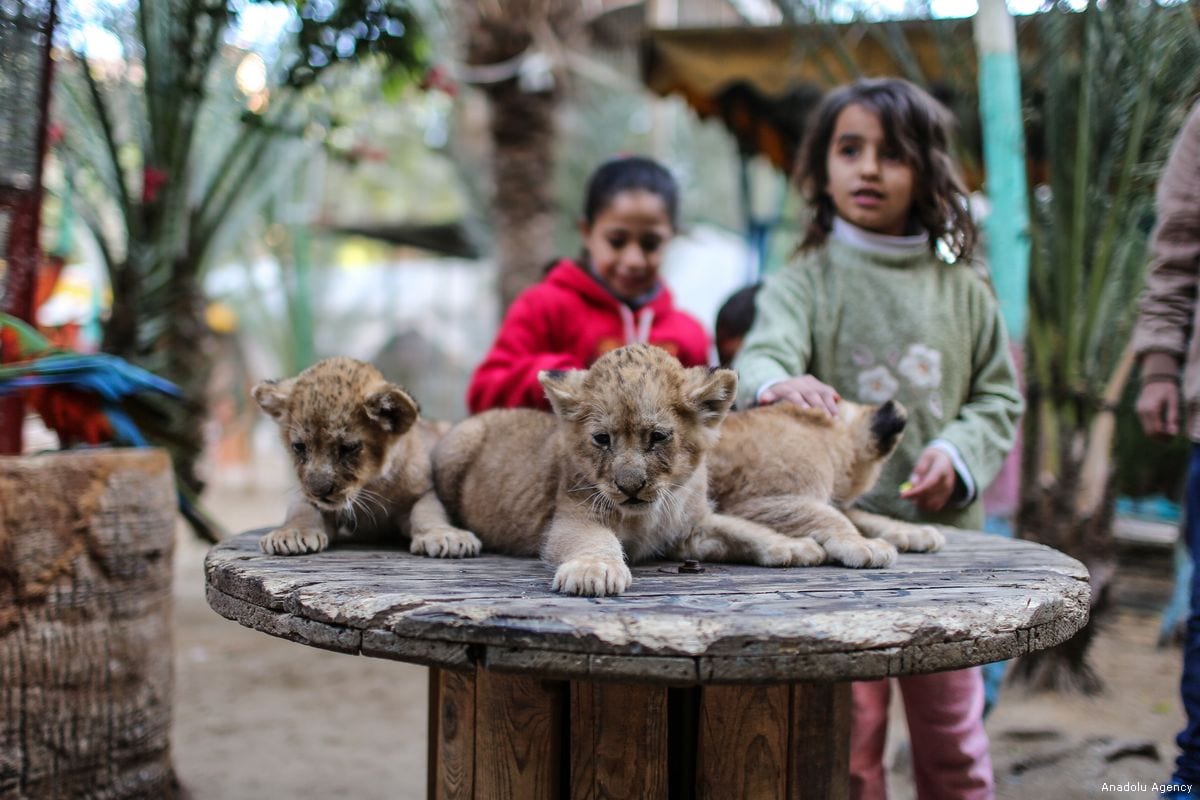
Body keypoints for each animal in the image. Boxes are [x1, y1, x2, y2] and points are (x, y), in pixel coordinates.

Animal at [253, 357, 481, 558]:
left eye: (348, 448)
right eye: (299, 446)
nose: (319, 492)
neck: (370, 486)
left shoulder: (423, 490)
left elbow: (428, 512)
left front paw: (447, 536)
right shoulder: (308, 495)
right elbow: (302, 510)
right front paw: (291, 534)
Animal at [430, 344, 824, 596]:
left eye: (658, 437)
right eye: (602, 439)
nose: (630, 486)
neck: (651, 514)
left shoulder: (690, 531)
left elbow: (742, 529)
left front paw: (795, 545)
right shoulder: (573, 517)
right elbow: (594, 540)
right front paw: (594, 570)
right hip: (456, 447)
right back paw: (449, 536)